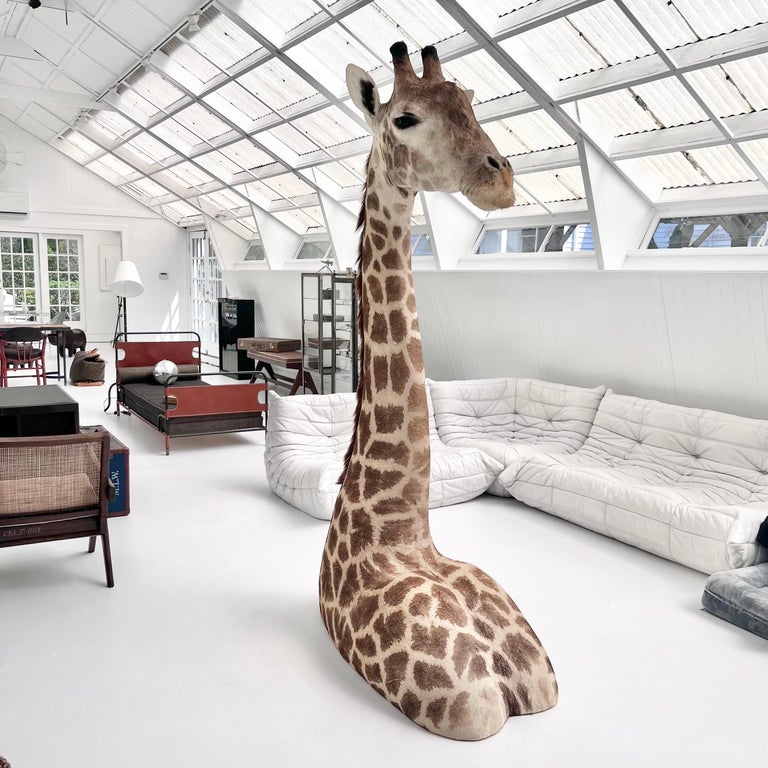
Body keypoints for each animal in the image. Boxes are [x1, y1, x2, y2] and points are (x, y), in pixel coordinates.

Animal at [318, 42, 558, 741]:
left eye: (472, 103)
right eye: (404, 118)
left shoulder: (538, 681)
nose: (501, 179)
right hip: (477, 706)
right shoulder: (480, 708)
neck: (397, 531)